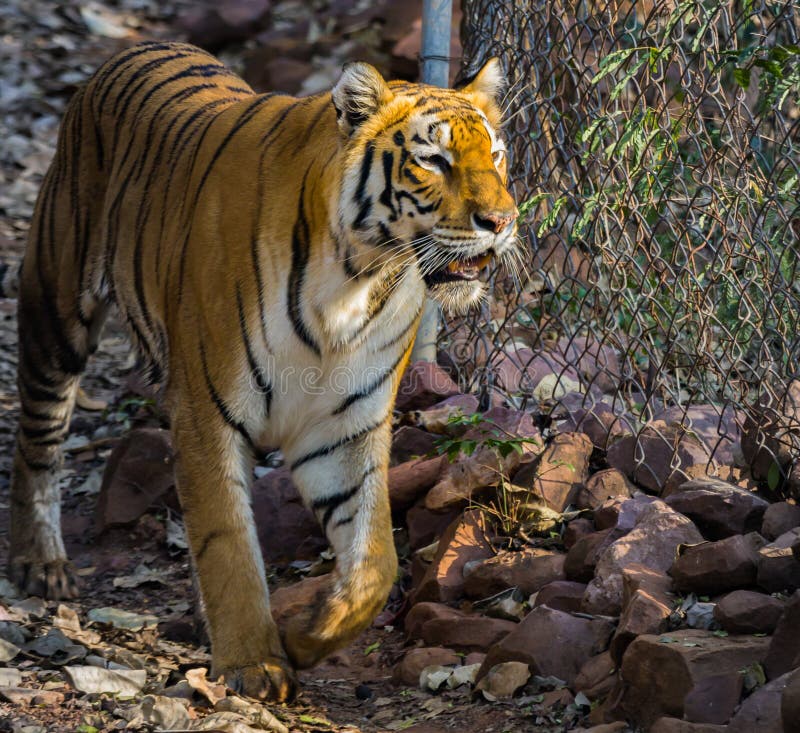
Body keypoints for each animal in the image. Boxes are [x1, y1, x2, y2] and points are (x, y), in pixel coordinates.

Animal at [6, 41, 518, 701]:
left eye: (497, 155)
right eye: (433, 159)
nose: (502, 221)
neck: (356, 277)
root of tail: (140, 47)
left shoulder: (344, 428)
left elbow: (374, 563)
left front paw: (305, 636)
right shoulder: (208, 413)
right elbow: (227, 543)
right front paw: (252, 663)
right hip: (56, 306)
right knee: (38, 440)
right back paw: (39, 563)